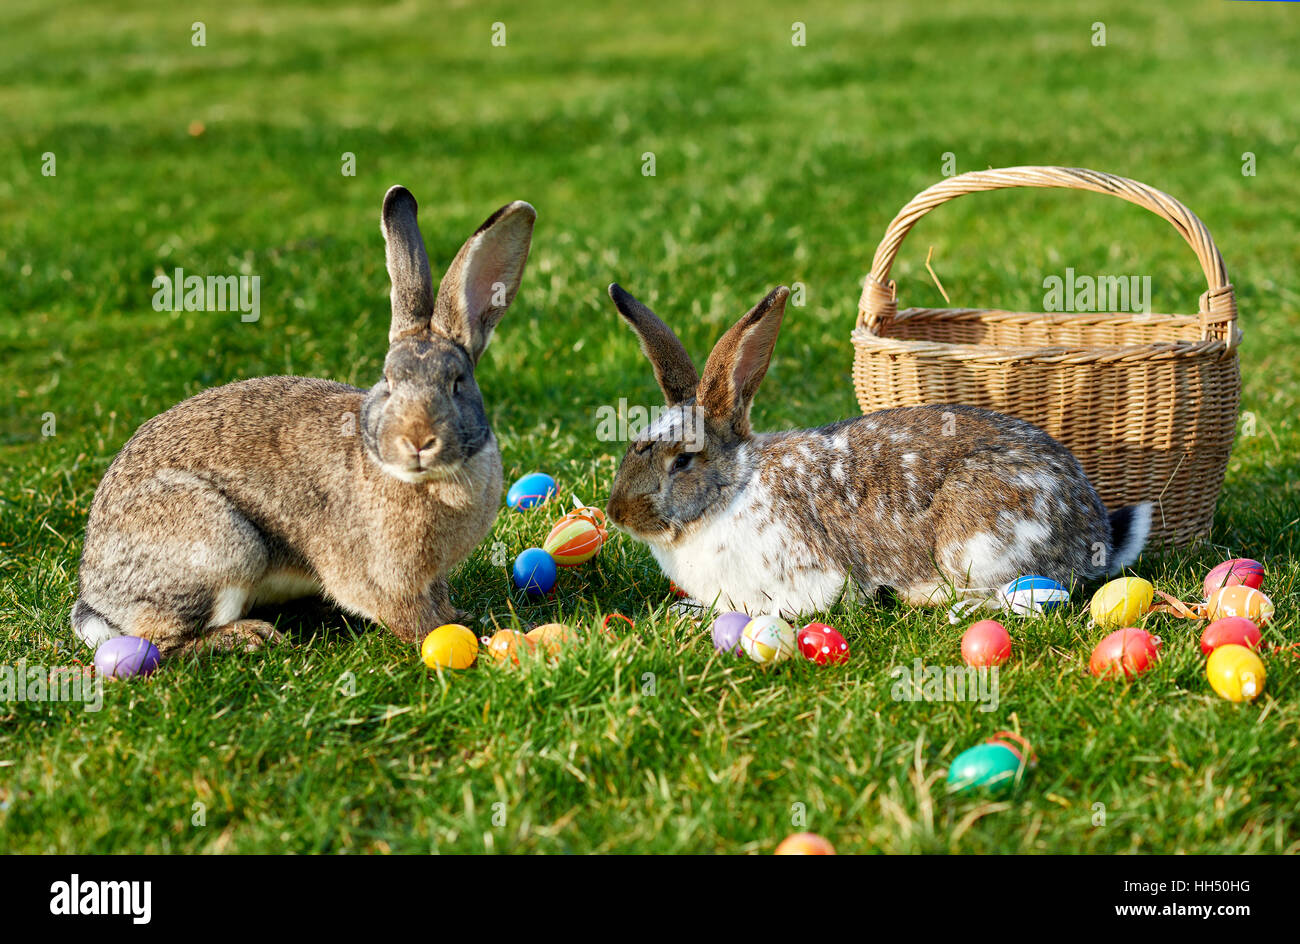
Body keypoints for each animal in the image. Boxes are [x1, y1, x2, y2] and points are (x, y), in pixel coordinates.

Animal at [71, 186, 536, 657]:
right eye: (387, 381)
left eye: (458, 382)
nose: (418, 440)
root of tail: (96, 595)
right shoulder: (382, 578)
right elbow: (409, 616)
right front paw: (444, 634)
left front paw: (459, 617)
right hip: (225, 545)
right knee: (162, 641)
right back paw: (248, 636)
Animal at [603, 282, 1152, 619]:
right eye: (634, 446)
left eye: (683, 460)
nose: (617, 513)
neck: (733, 489)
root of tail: (1094, 533)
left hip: (980, 543)